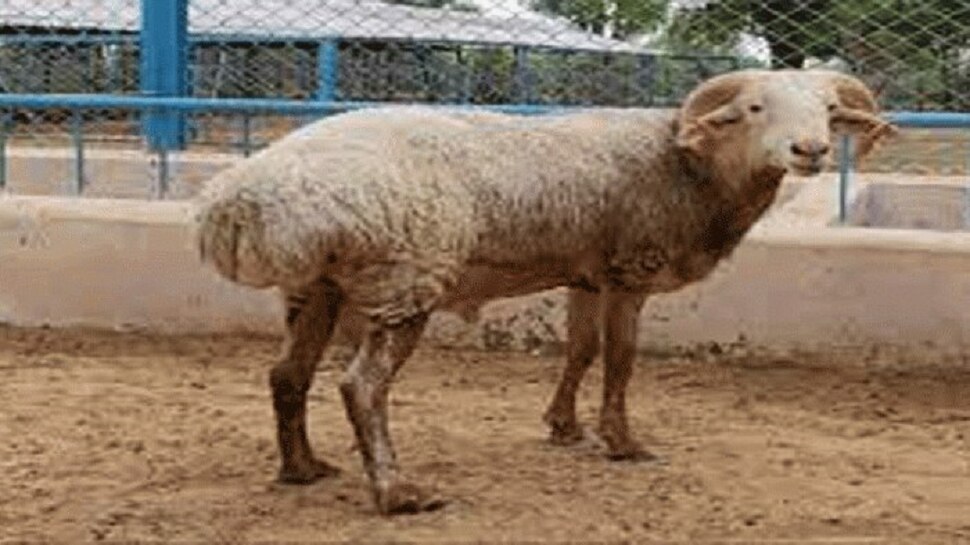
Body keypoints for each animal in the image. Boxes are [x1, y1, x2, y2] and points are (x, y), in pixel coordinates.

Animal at [193, 68, 896, 516]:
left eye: (829, 111)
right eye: (754, 108)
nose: (811, 150)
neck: (691, 166)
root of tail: (237, 199)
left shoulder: (586, 273)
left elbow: (580, 351)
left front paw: (564, 426)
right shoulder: (629, 271)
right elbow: (621, 359)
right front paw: (623, 443)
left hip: (314, 285)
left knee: (287, 375)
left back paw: (302, 470)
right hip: (406, 276)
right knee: (360, 386)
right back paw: (398, 494)